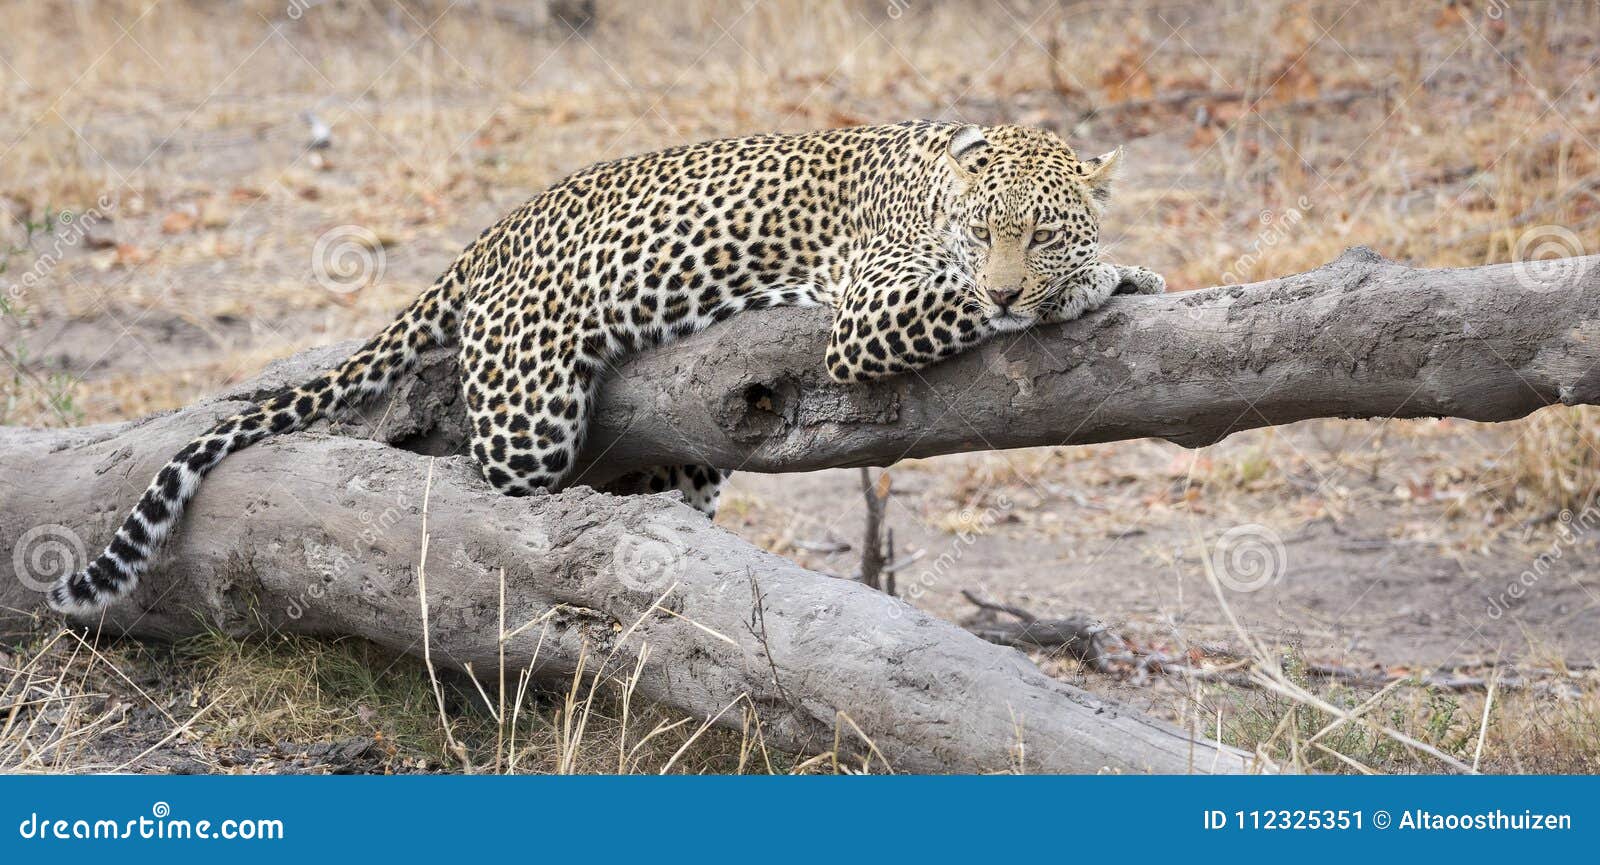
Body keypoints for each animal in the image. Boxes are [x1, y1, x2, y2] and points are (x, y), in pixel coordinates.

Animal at [48, 119, 1164, 615]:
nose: (1012, 291)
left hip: (688, 453)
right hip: (528, 413)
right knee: (478, 478)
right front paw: (1096, 280)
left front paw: (1120, 268)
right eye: (985, 235)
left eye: (1040, 231)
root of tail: (486, 239)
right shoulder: (870, 308)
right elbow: (957, 302)